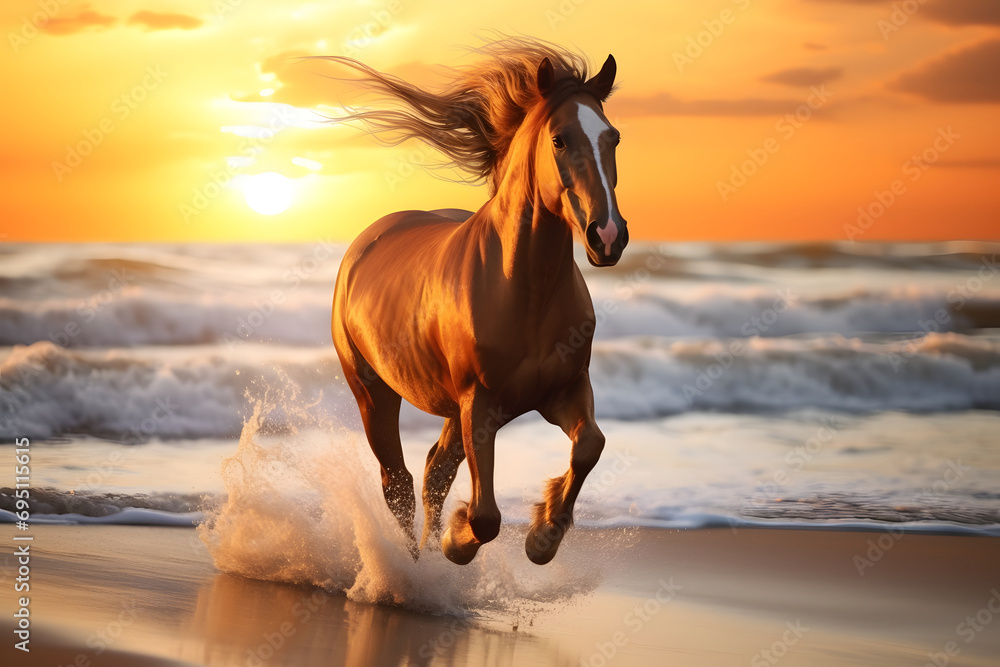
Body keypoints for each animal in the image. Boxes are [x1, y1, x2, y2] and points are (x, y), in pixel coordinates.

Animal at [328, 38, 628, 565]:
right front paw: (458, 539)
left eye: (612, 138)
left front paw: (543, 536)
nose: (608, 235)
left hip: (448, 408)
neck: (526, 291)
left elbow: (591, 444)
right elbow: (486, 517)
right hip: (373, 393)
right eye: (559, 140)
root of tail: (366, 240)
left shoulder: (564, 390)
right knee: (398, 482)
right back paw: (414, 569)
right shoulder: (480, 405)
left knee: (432, 471)